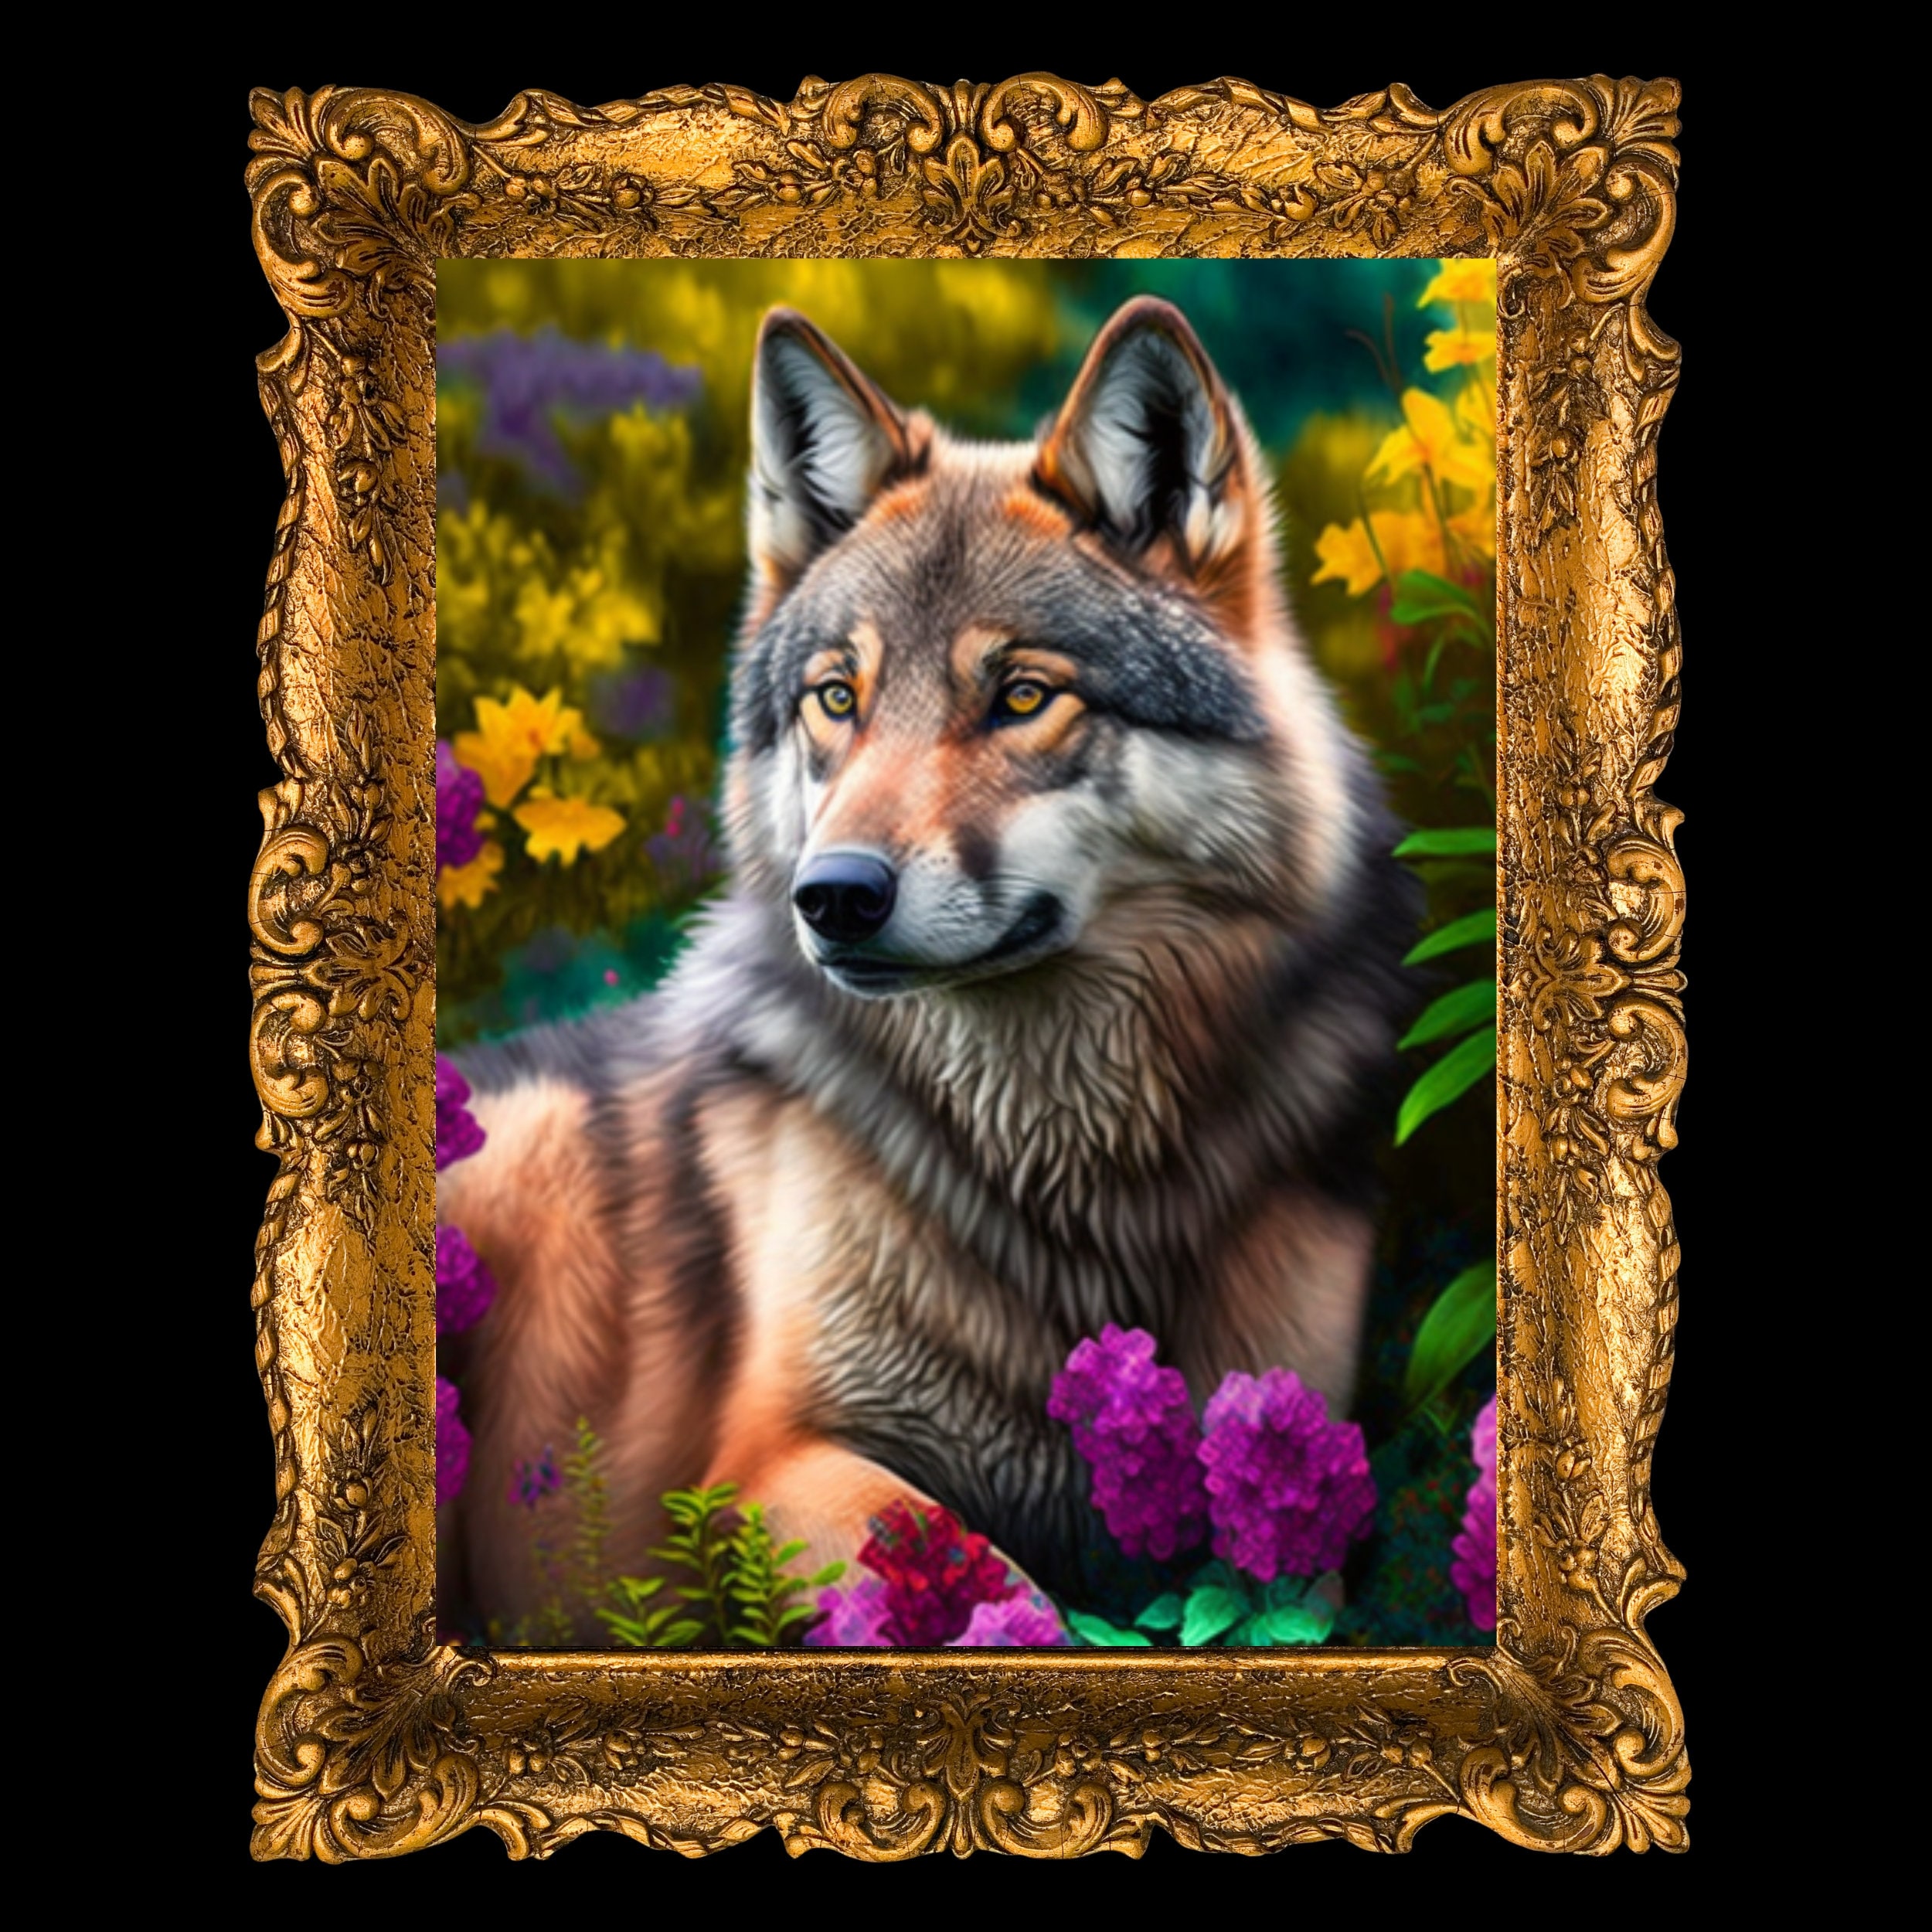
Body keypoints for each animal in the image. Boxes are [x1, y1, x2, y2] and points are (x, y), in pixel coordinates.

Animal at [438, 296, 1419, 1633]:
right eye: (836, 698)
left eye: (1021, 697)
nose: (835, 897)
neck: (1071, 1193)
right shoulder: (770, 1456)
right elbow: (1003, 1594)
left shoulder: (1290, 1475)